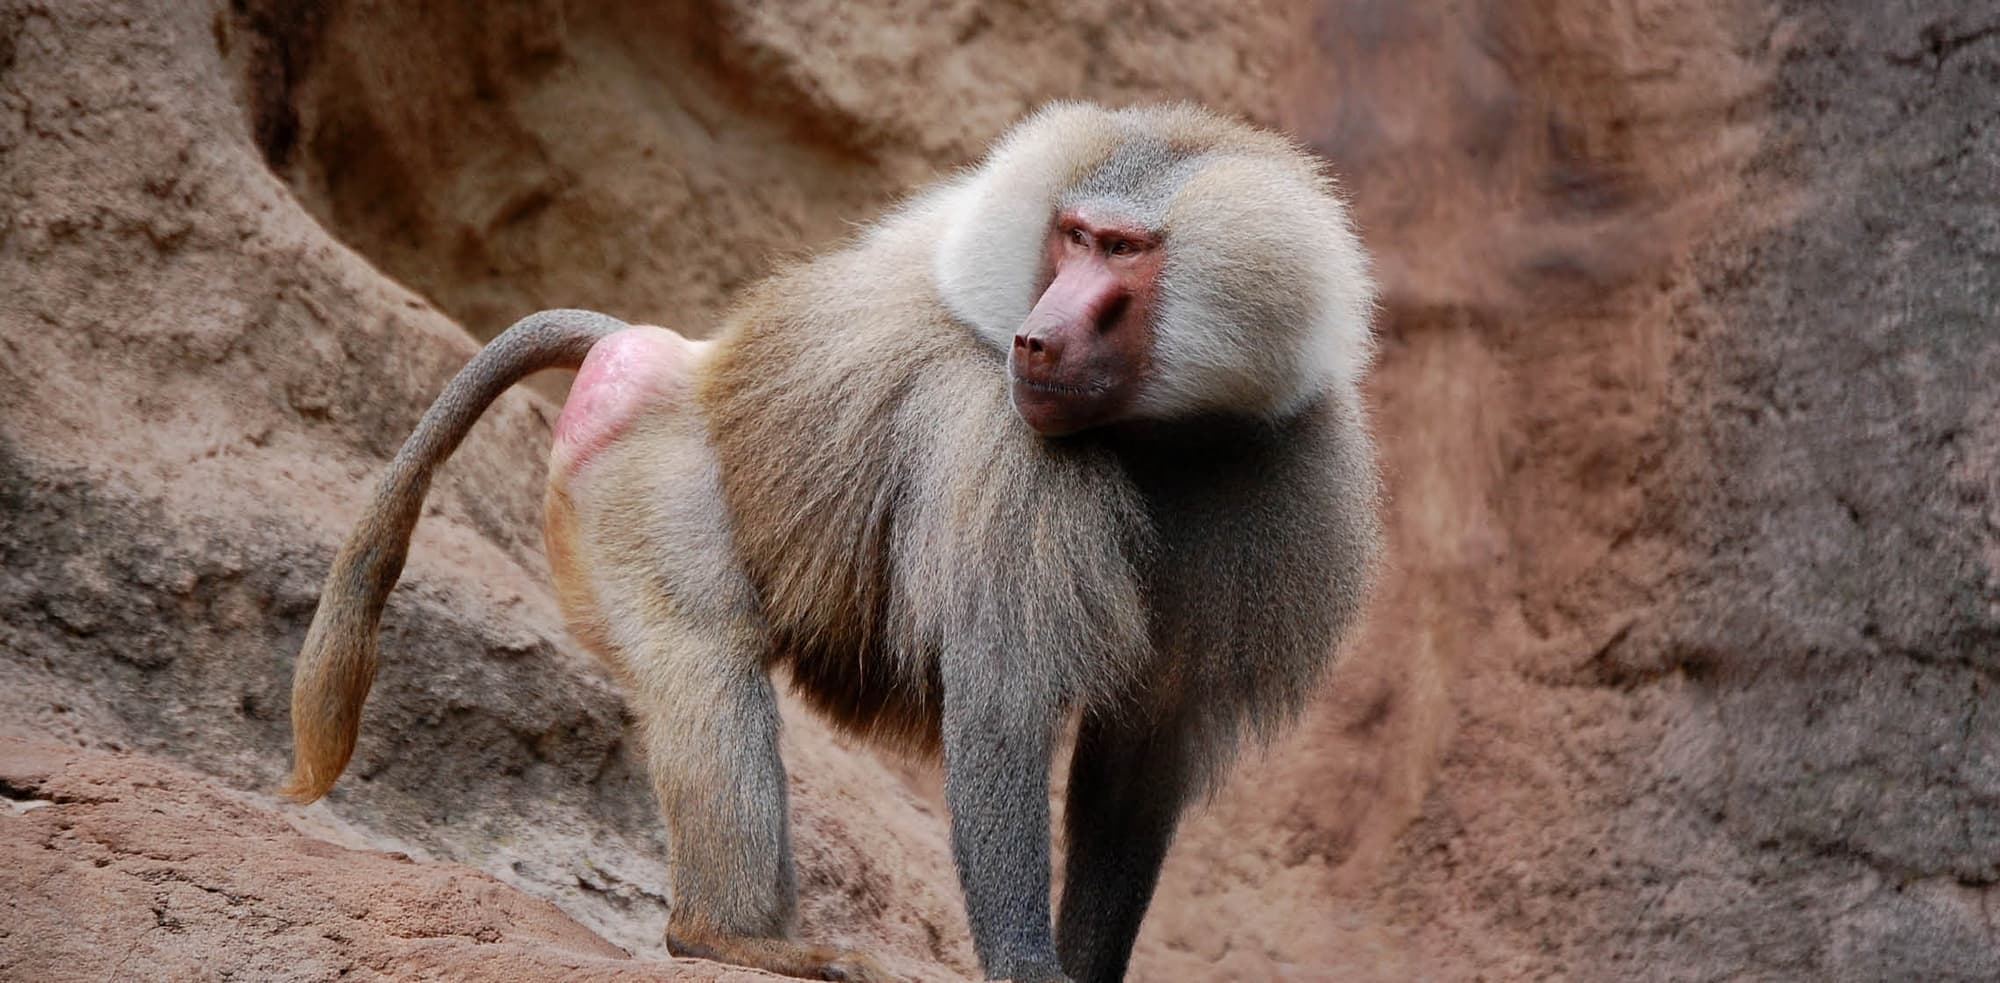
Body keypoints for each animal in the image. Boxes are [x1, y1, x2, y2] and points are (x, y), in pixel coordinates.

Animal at [283, 102, 1381, 983]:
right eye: (1071, 237)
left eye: (1120, 251)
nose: (1033, 339)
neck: (1157, 430)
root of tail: (677, 354)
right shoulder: (997, 445)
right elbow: (1000, 700)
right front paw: (1028, 967)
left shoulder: (1277, 477)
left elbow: (1138, 757)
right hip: (644, 473)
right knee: (705, 665)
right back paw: (731, 936)